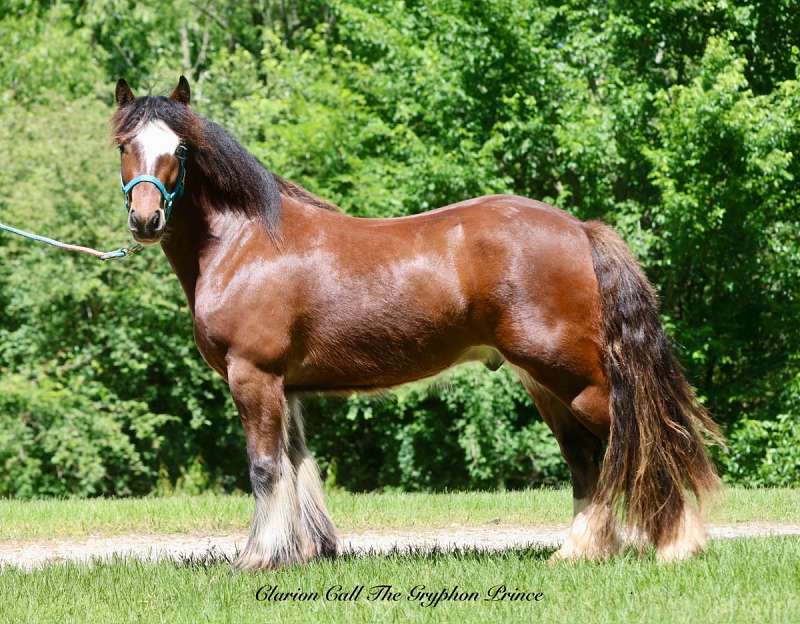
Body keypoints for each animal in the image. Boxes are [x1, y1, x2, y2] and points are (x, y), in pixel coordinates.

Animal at [112, 76, 721, 570]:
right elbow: (298, 467)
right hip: (547, 384)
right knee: (586, 458)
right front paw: (306, 553)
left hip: (578, 381)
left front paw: (257, 559)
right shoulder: (287, 388)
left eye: (180, 148)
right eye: (124, 145)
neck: (246, 243)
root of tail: (579, 229)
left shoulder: (254, 376)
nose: (146, 219)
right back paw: (578, 551)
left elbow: (265, 469)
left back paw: (675, 545)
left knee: (643, 438)